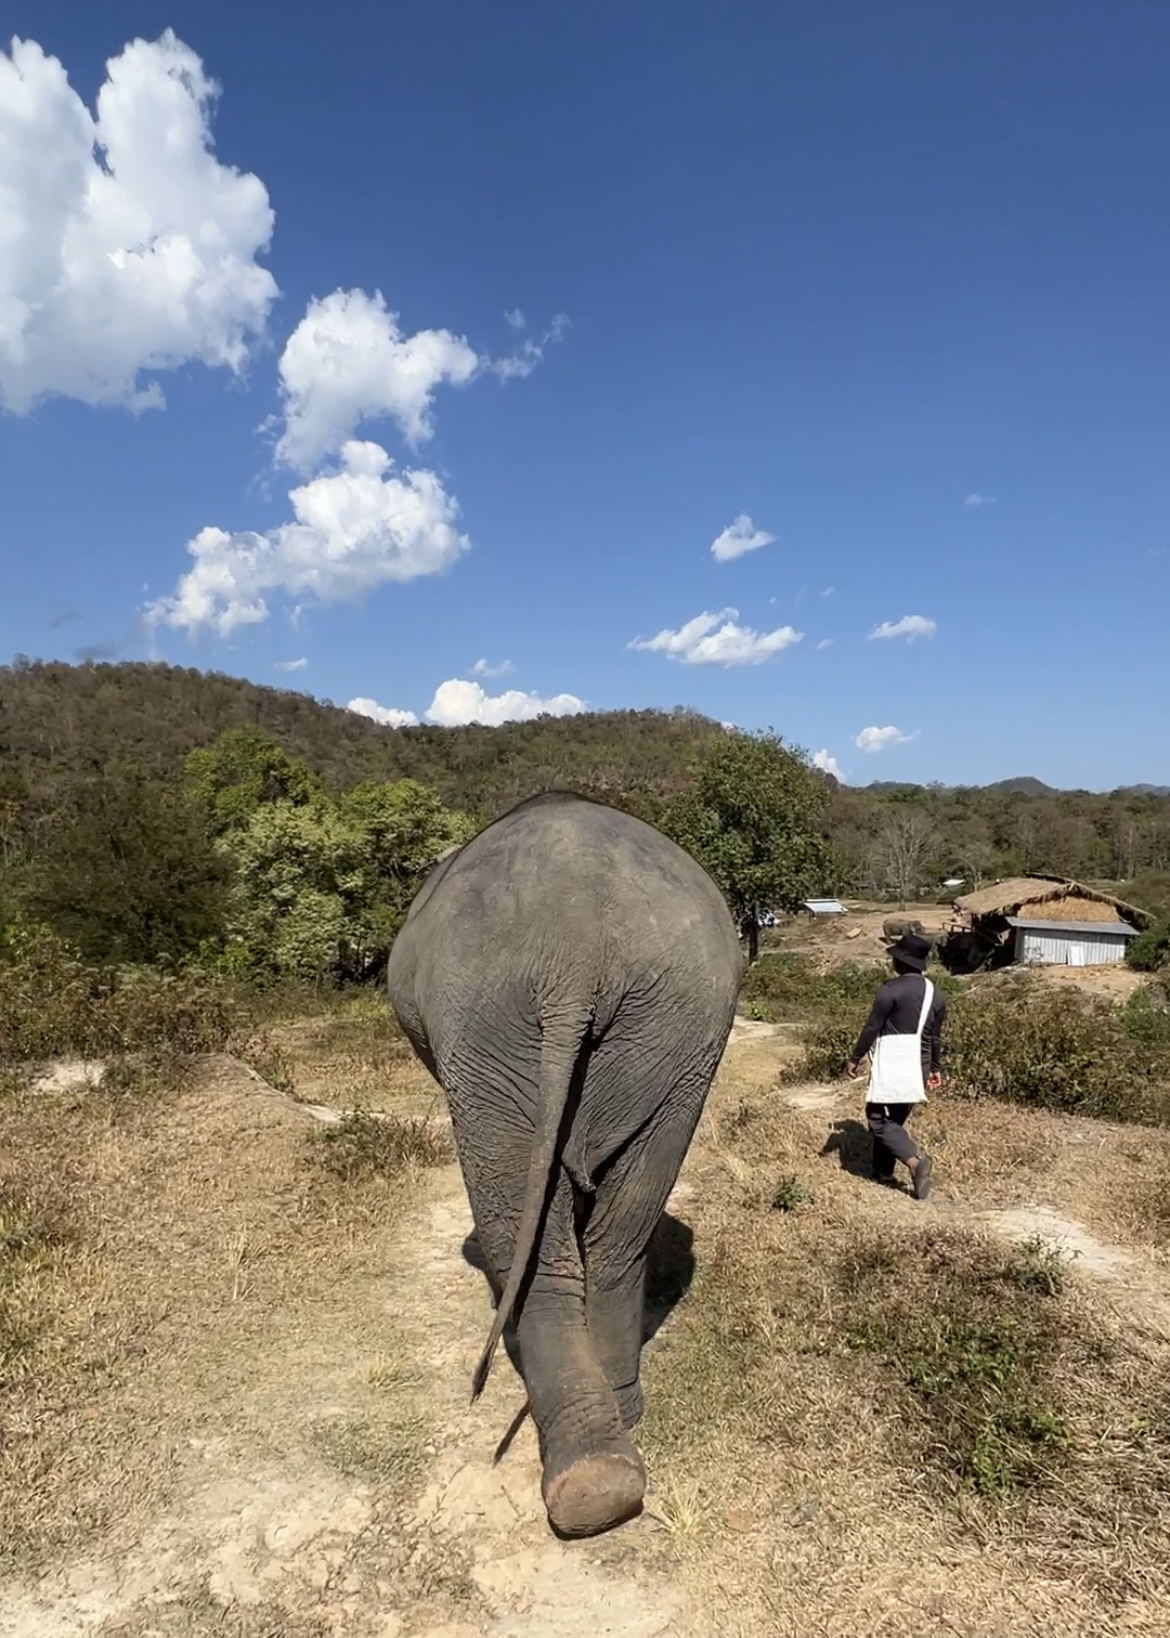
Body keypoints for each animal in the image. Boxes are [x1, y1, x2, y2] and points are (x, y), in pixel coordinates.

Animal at [386, 790, 742, 1539]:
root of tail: (572, 951)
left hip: (485, 1029)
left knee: (515, 1209)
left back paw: (587, 1478)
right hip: (679, 1028)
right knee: (624, 1230)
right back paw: (612, 1444)